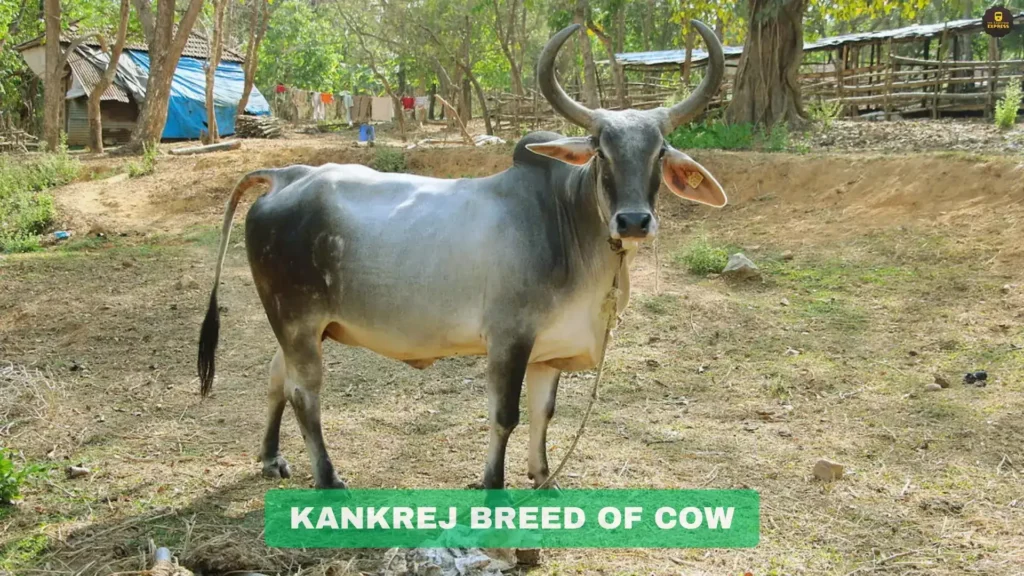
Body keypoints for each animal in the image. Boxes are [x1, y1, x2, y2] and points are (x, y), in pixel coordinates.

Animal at [197, 20, 727, 490]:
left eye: (660, 151)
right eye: (600, 151)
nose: (633, 221)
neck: (571, 227)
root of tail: (286, 175)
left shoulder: (549, 349)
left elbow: (543, 413)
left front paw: (543, 479)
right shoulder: (509, 339)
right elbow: (505, 416)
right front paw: (494, 486)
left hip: (297, 327)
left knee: (276, 377)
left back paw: (270, 457)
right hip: (298, 321)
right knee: (304, 394)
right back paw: (329, 481)